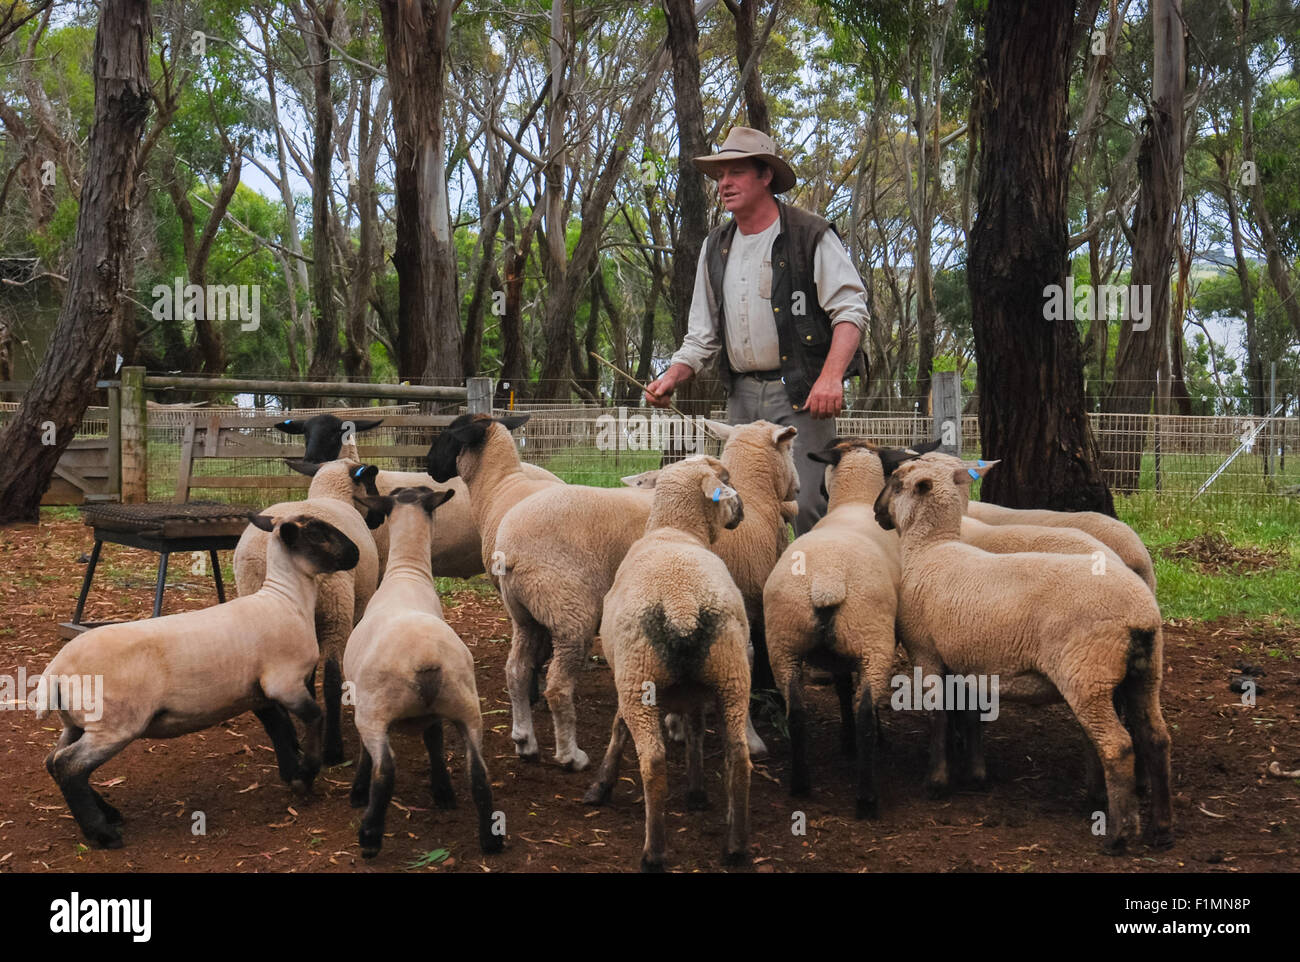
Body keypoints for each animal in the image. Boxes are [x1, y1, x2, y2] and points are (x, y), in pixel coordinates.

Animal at [36, 514, 360, 848]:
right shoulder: (284, 683)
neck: (286, 600)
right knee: (69, 767)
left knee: (53, 761)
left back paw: (109, 814)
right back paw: (103, 833)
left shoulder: (257, 693)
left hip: (76, 723)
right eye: (318, 534)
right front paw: (307, 773)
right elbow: (314, 717)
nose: (356, 553)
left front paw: (292, 773)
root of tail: (56, 669)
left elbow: (278, 729)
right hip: (113, 724)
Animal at [234, 491, 380, 766]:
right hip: (336, 614)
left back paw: (293, 740)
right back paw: (333, 749)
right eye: (319, 533)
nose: (355, 552)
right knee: (332, 679)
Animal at [343, 486, 503, 859]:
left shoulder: (361, 703)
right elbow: (434, 740)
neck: (407, 572)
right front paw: (442, 790)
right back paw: (490, 839)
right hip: (466, 706)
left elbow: (364, 754)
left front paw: (357, 791)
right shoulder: (435, 715)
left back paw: (370, 835)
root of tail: (426, 659)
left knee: (385, 769)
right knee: (479, 773)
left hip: (376, 710)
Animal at [582, 455, 751, 871]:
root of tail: (682, 604)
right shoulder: (696, 692)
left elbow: (617, 729)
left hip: (638, 679)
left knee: (653, 762)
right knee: (739, 755)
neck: (673, 530)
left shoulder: (624, 677)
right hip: (732, 673)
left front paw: (600, 786)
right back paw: (736, 845)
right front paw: (697, 791)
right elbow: (694, 730)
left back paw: (653, 852)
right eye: (727, 480)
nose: (742, 509)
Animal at [874, 457, 1173, 852]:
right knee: (1155, 738)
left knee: (1117, 745)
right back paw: (1160, 829)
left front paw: (936, 782)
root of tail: (1140, 614)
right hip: (1145, 673)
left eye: (895, 481)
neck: (932, 549)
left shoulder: (927, 652)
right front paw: (975, 774)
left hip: (1088, 675)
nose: (876, 512)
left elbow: (938, 715)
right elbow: (969, 714)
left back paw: (1119, 834)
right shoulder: (970, 660)